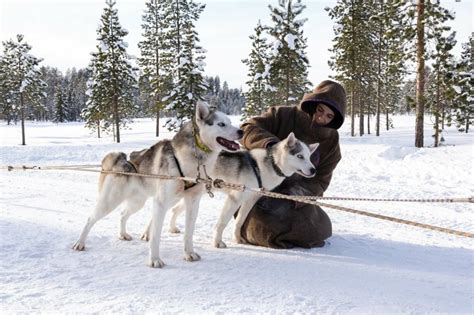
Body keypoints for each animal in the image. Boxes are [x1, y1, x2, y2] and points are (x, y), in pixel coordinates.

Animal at [72, 102, 243, 270]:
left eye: (230, 122)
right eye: (221, 124)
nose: (241, 131)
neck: (192, 162)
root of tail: (121, 161)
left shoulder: (192, 202)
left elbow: (189, 232)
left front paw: (189, 253)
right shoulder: (160, 203)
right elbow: (156, 236)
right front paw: (154, 260)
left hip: (140, 203)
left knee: (122, 214)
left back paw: (123, 234)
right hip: (110, 201)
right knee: (90, 219)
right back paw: (80, 243)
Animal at [167, 133, 318, 249]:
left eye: (309, 157)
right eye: (300, 156)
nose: (313, 170)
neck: (268, 165)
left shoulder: (249, 200)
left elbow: (240, 221)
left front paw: (238, 239)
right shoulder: (235, 199)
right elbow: (222, 223)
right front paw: (217, 242)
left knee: (175, 209)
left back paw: (172, 228)